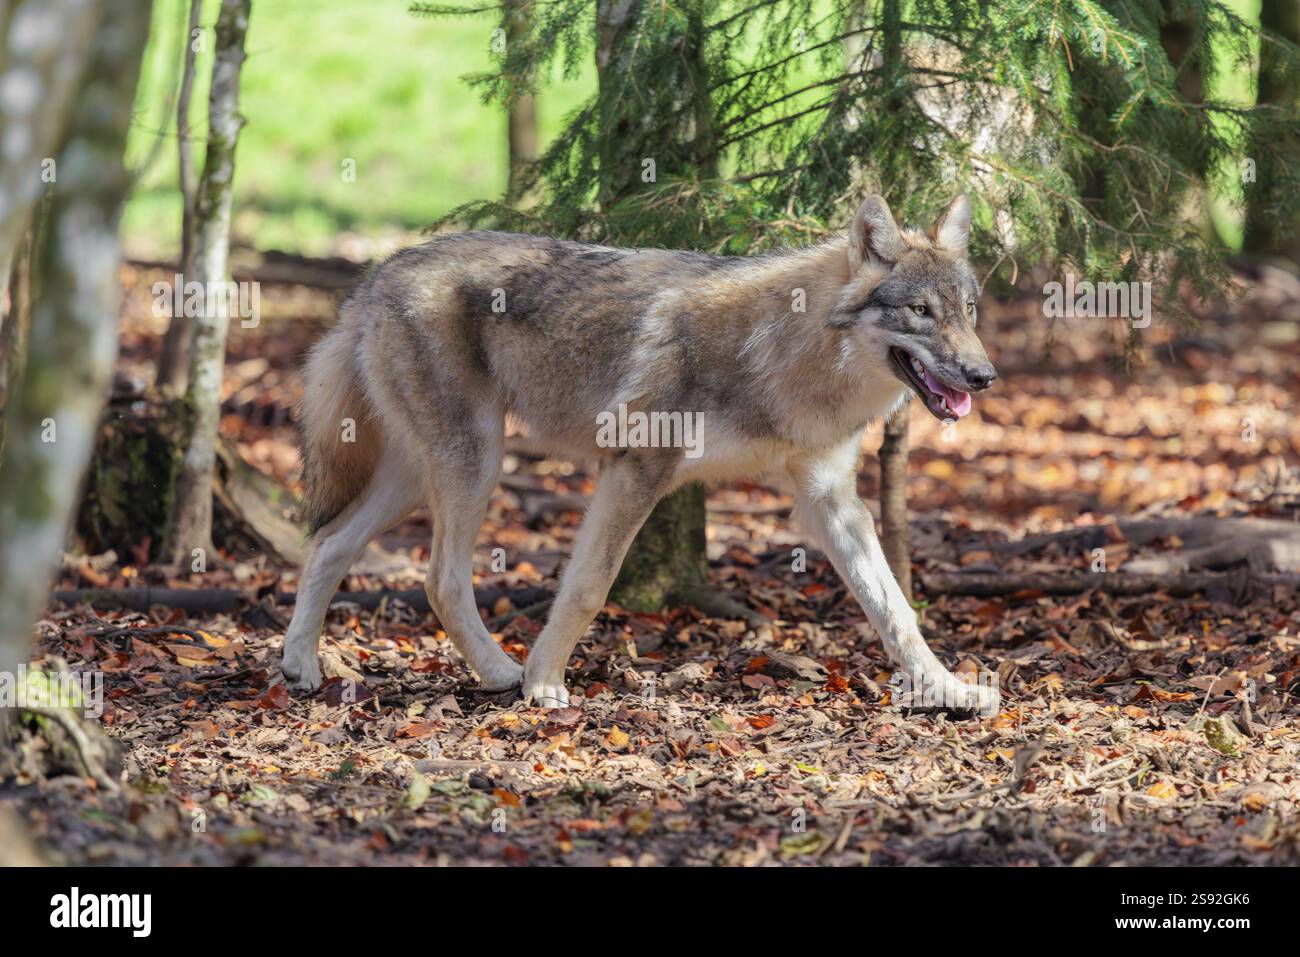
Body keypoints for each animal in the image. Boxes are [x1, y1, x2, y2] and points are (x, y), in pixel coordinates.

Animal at [280, 193, 1000, 714]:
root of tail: (378, 274)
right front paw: (544, 684)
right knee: (439, 579)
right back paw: (501, 672)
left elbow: (895, 608)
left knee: (328, 543)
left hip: (416, 478)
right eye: (920, 312)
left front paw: (947, 690)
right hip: (474, 463)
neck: (787, 356)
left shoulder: (831, 501)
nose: (983, 375)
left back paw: (300, 666)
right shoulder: (636, 468)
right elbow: (588, 588)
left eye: (968, 310)